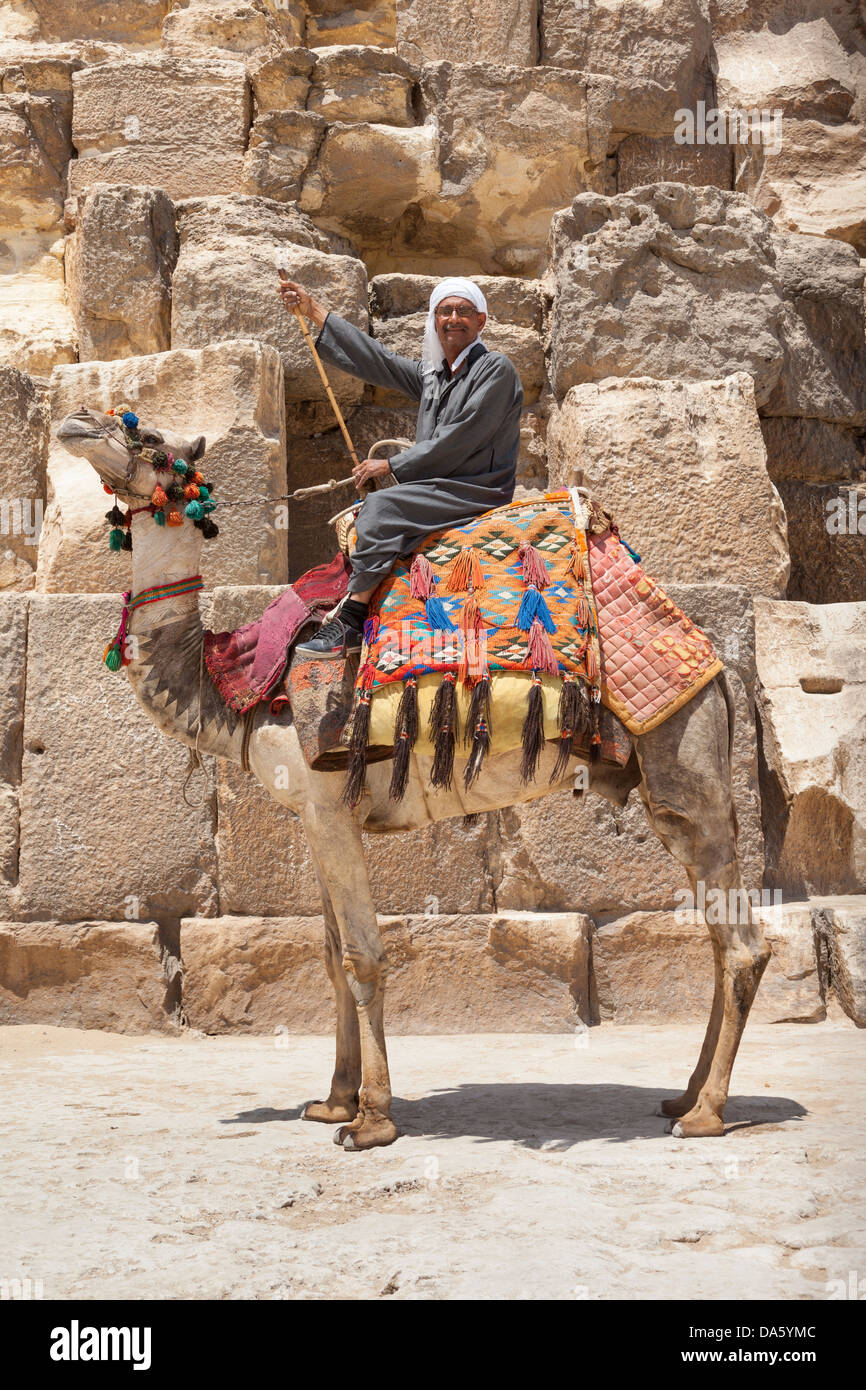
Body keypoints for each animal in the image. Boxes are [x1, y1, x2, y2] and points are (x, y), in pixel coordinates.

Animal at [57, 403, 772, 1151]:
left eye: (145, 435)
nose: (75, 422)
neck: (239, 682)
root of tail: (717, 663)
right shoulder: (317, 817)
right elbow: (330, 955)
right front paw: (333, 1101)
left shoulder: (328, 806)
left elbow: (363, 956)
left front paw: (371, 1119)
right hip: (674, 791)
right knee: (719, 937)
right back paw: (684, 1094)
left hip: (688, 759)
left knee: (742, 944)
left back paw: (705, 1112)